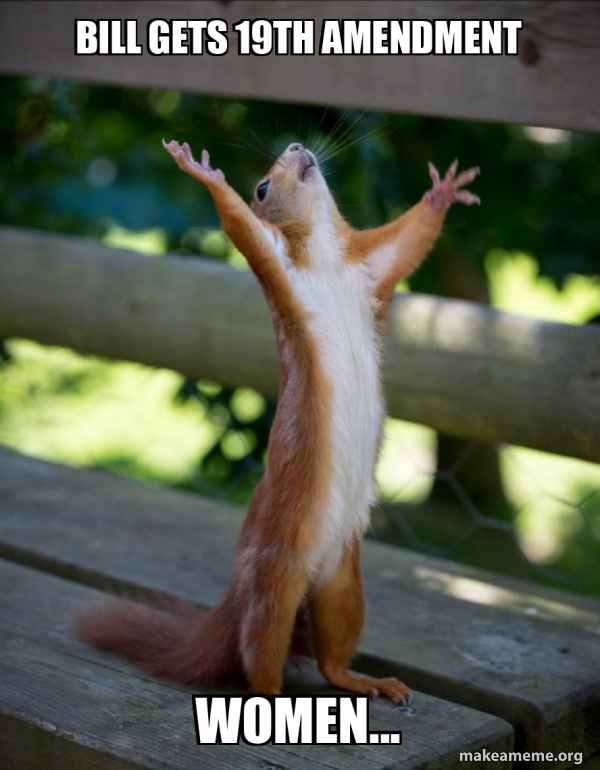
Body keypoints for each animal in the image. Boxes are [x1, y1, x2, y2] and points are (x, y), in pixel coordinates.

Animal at [77, 138, 479, 704]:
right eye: (262, 187)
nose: (296, 146)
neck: (327, 258)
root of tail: (238, 594)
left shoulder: (372, 267)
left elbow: (410, 239)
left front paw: (442, 192)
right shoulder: (277, 264)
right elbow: (240, 226)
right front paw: (203, 173)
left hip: (344, 586)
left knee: (332, 657)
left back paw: (367, 680)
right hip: (273, 583)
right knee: (258, 658)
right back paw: (275, 697)